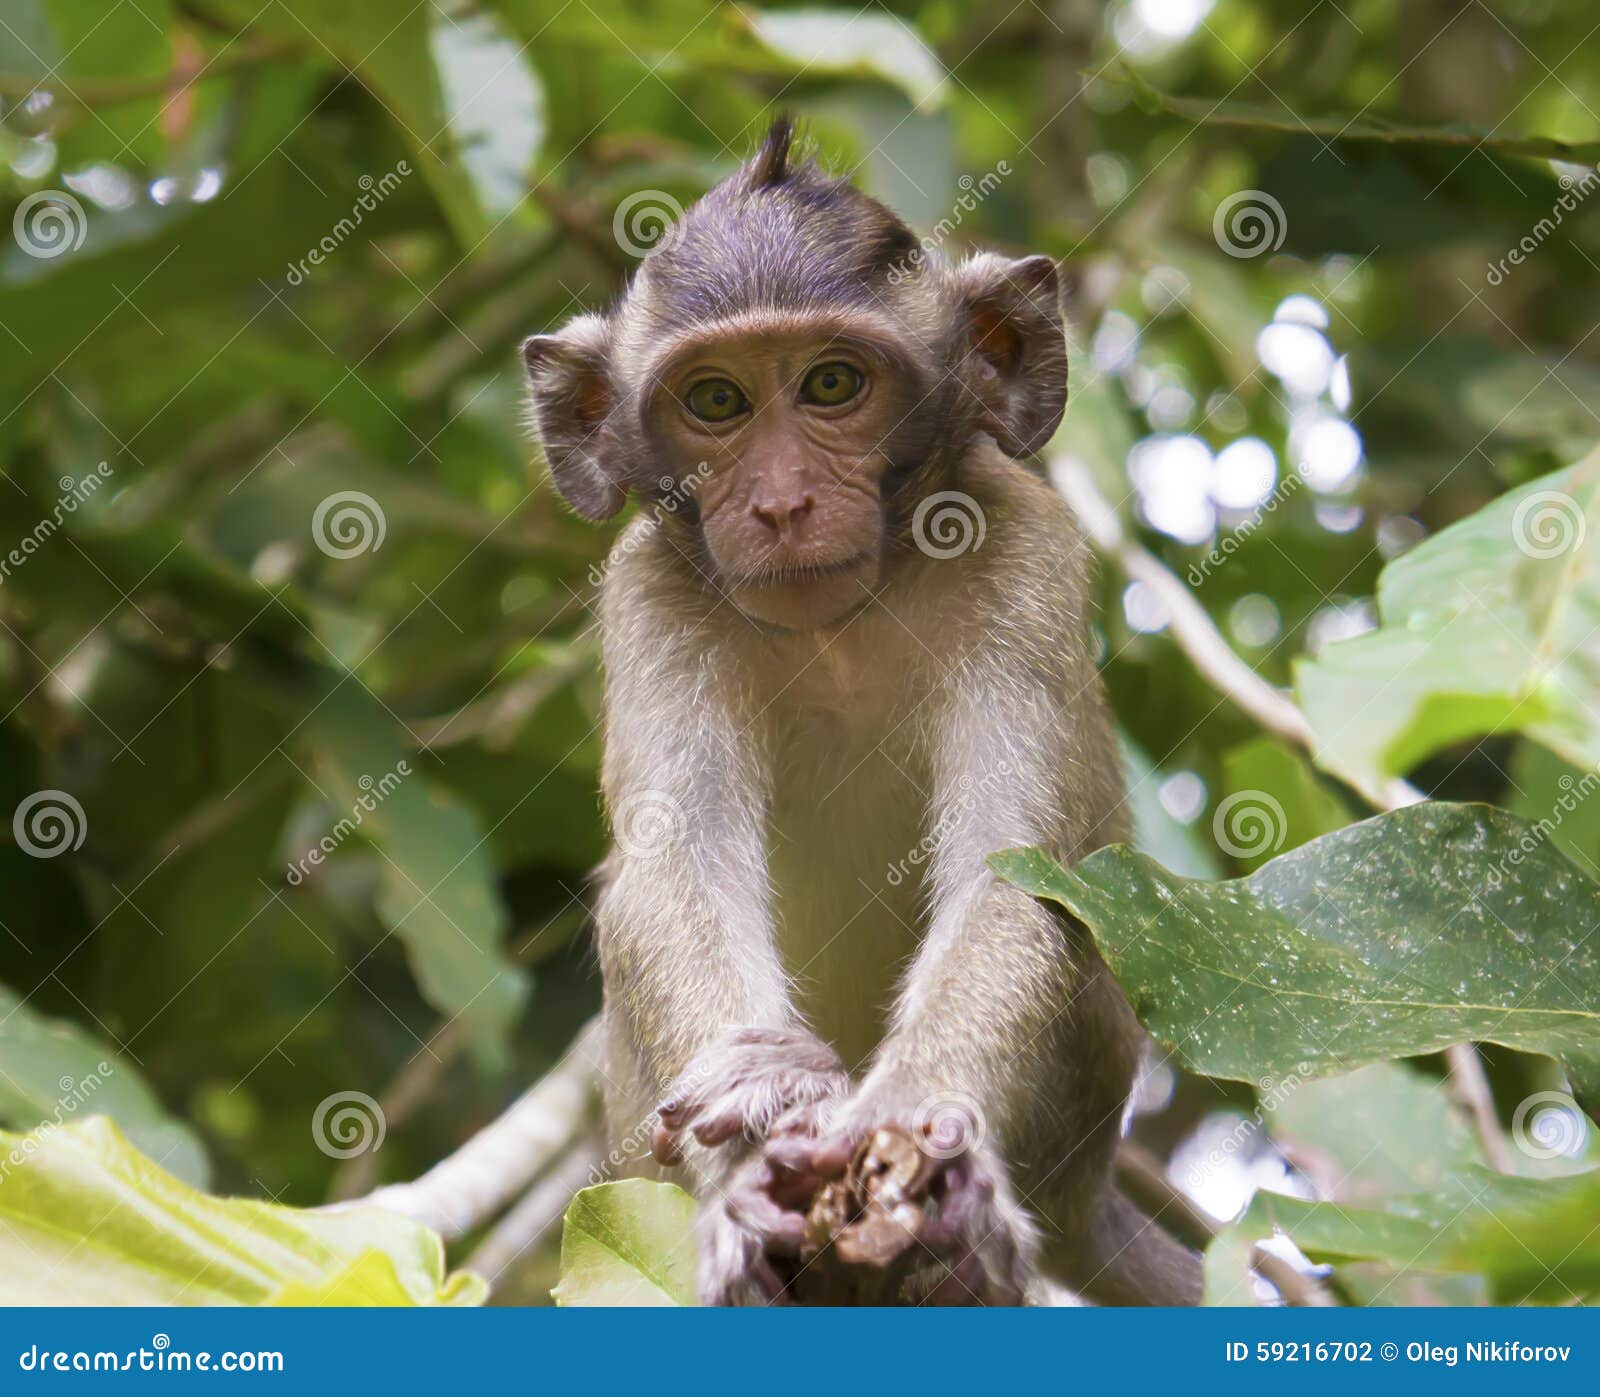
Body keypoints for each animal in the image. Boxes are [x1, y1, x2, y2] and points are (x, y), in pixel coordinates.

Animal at [522, 117, 1201, 1307]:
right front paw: (751, 1145)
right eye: (715, 402)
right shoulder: (648, 592)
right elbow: (672, 862)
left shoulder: (1022, 549)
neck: (841, 622)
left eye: (833, 382)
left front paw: (913, 1138)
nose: (781, 502)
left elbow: (1014, 878)